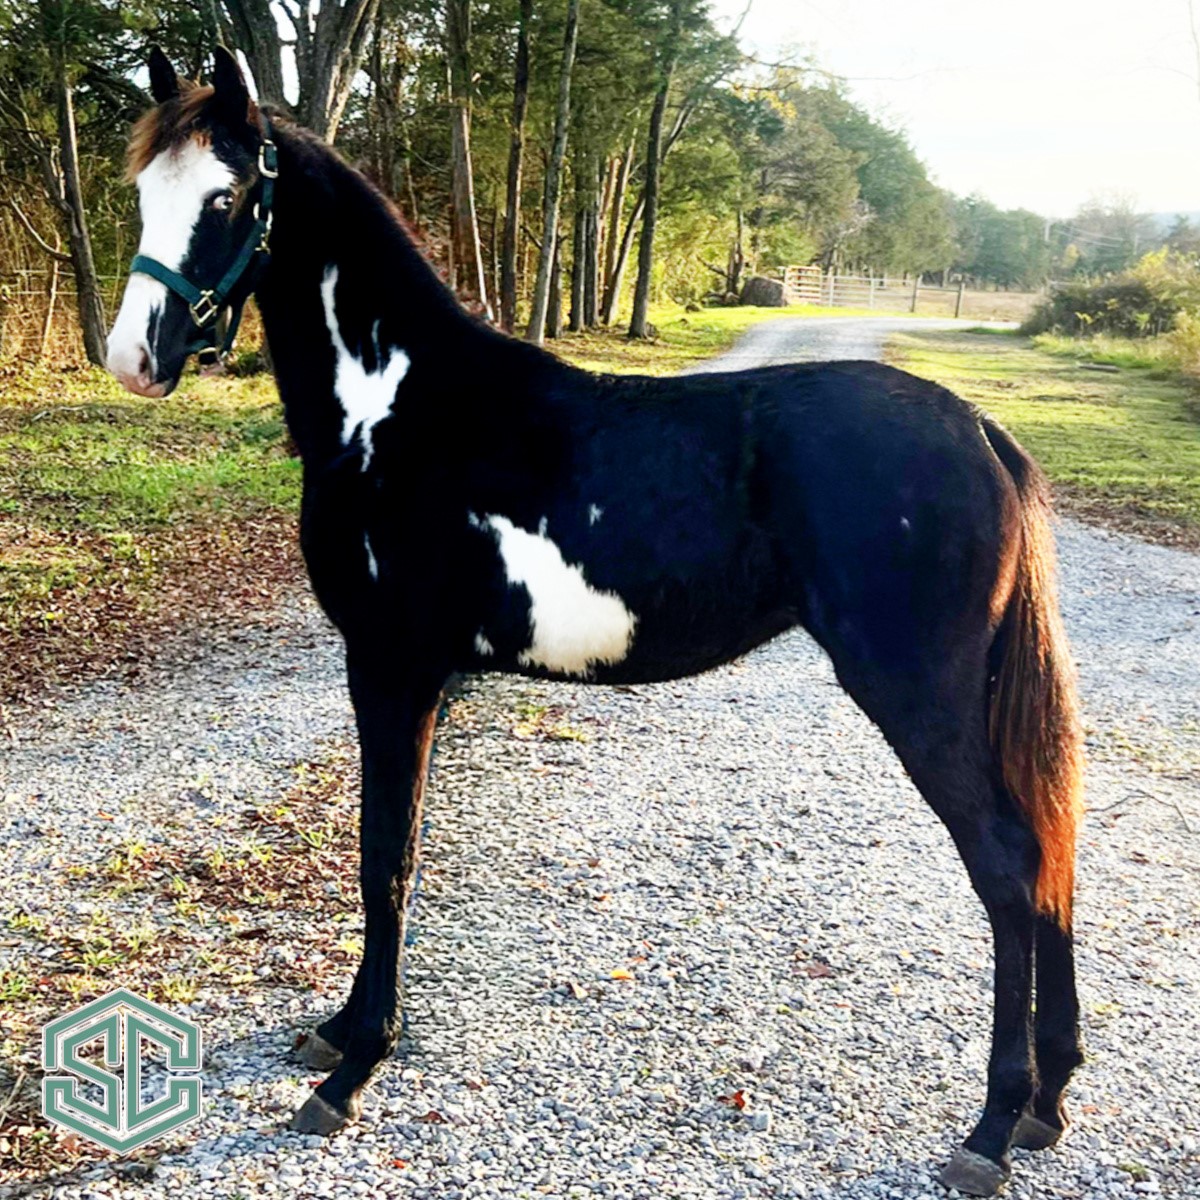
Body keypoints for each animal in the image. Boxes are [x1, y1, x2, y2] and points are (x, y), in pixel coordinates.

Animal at [105, 46, 1085, 1197]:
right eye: (142, 190)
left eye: (224, 197)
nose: (134, 356)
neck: (397, 407)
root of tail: (979, 430)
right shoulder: (413, 676)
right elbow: (391, 848)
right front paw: (340, 1033)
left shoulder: (393, 668)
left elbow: (384, 856)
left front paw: (351, 1072)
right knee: (1049, 852)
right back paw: (1048, 1104)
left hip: (918, 696)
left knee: (1009, 868)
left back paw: (992, 1126)